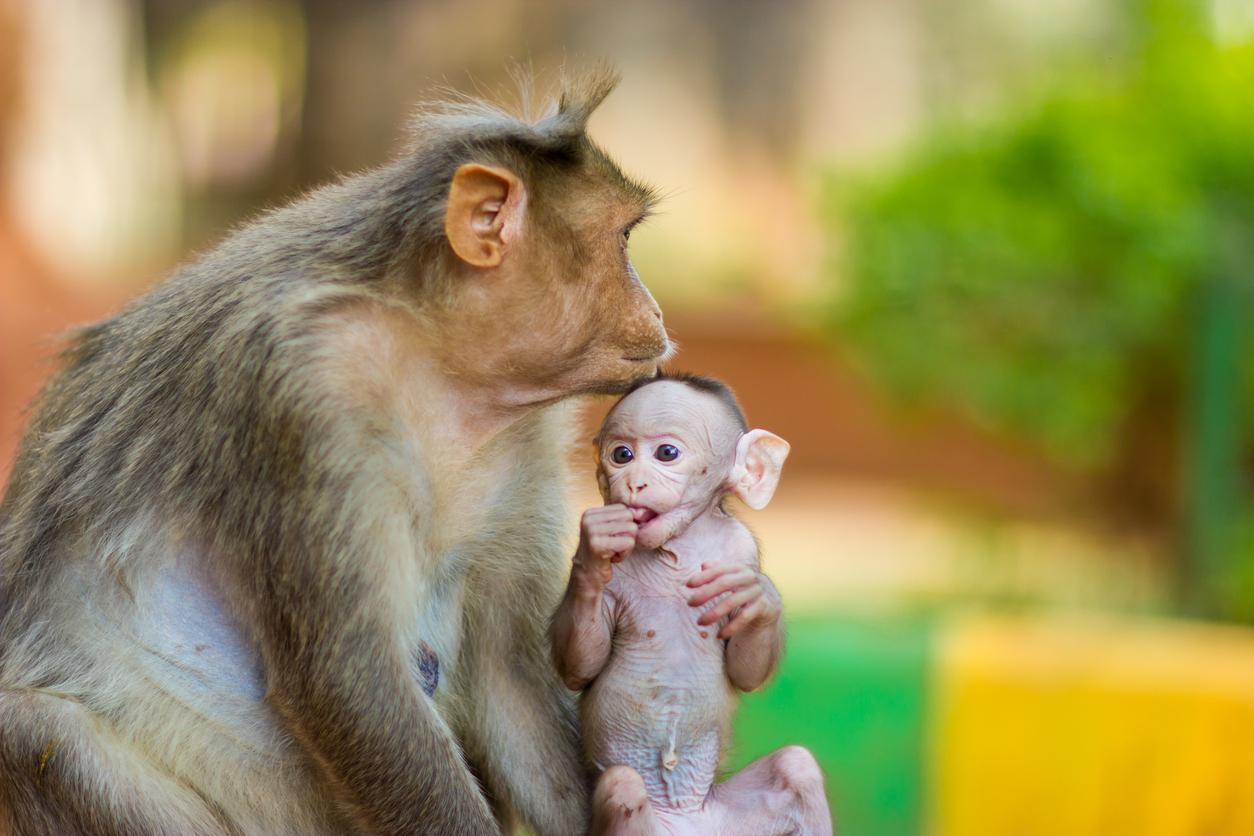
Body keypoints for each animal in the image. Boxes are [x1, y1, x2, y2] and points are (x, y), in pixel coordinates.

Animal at [0, 69, 670, 835]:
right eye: (624, 240)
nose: (658, 312)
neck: (433, 353)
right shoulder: (304, 392)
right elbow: (348, 684)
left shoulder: (526, 434)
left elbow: (509, 674)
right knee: (36, 727)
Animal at [551, 373, 833, 835]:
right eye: (621, 454)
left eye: (667, 453)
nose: (634, 482)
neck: (677, 546)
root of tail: (687, 820)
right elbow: (580, 667)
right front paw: (594, 551)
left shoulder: (740, 550)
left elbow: (746, 672)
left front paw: (759, 599)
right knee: (623, 787)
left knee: (797, 767)